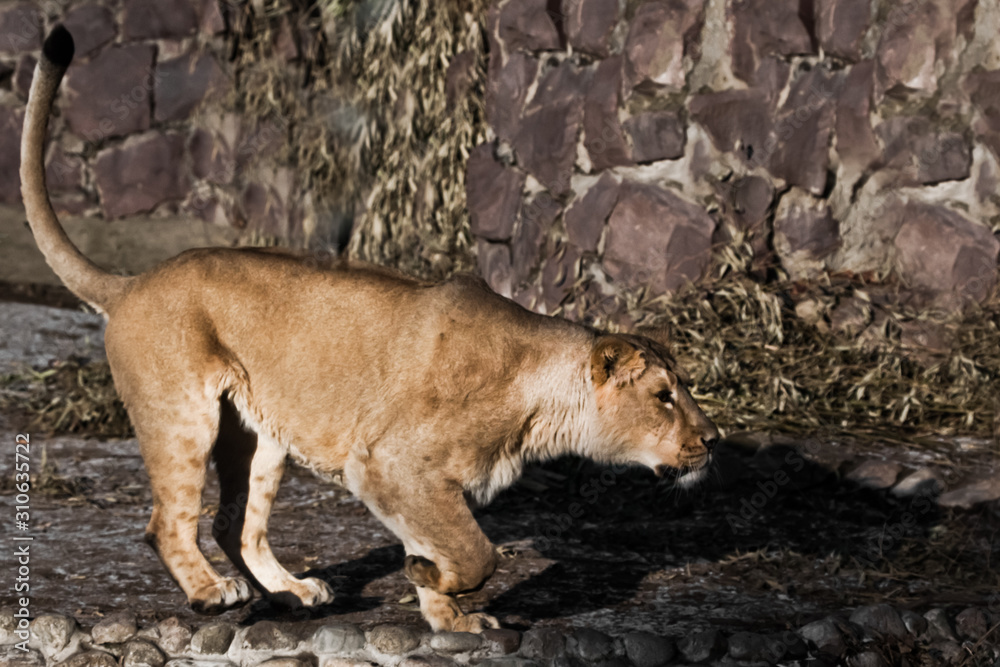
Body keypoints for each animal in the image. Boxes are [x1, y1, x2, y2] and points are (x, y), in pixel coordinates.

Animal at [21, 26, 720, 632]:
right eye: (664, 396)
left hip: (262, 436)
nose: (713, 442)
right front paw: (437, 584)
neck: (540, 397)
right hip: (182, 415)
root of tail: (132, 281)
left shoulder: (401, 478)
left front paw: (447, 615)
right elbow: (477, 551)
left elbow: (442, 548)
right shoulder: (389, 460)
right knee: (167, 521)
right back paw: (213, 593)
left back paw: (292, 591)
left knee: (236, 525)